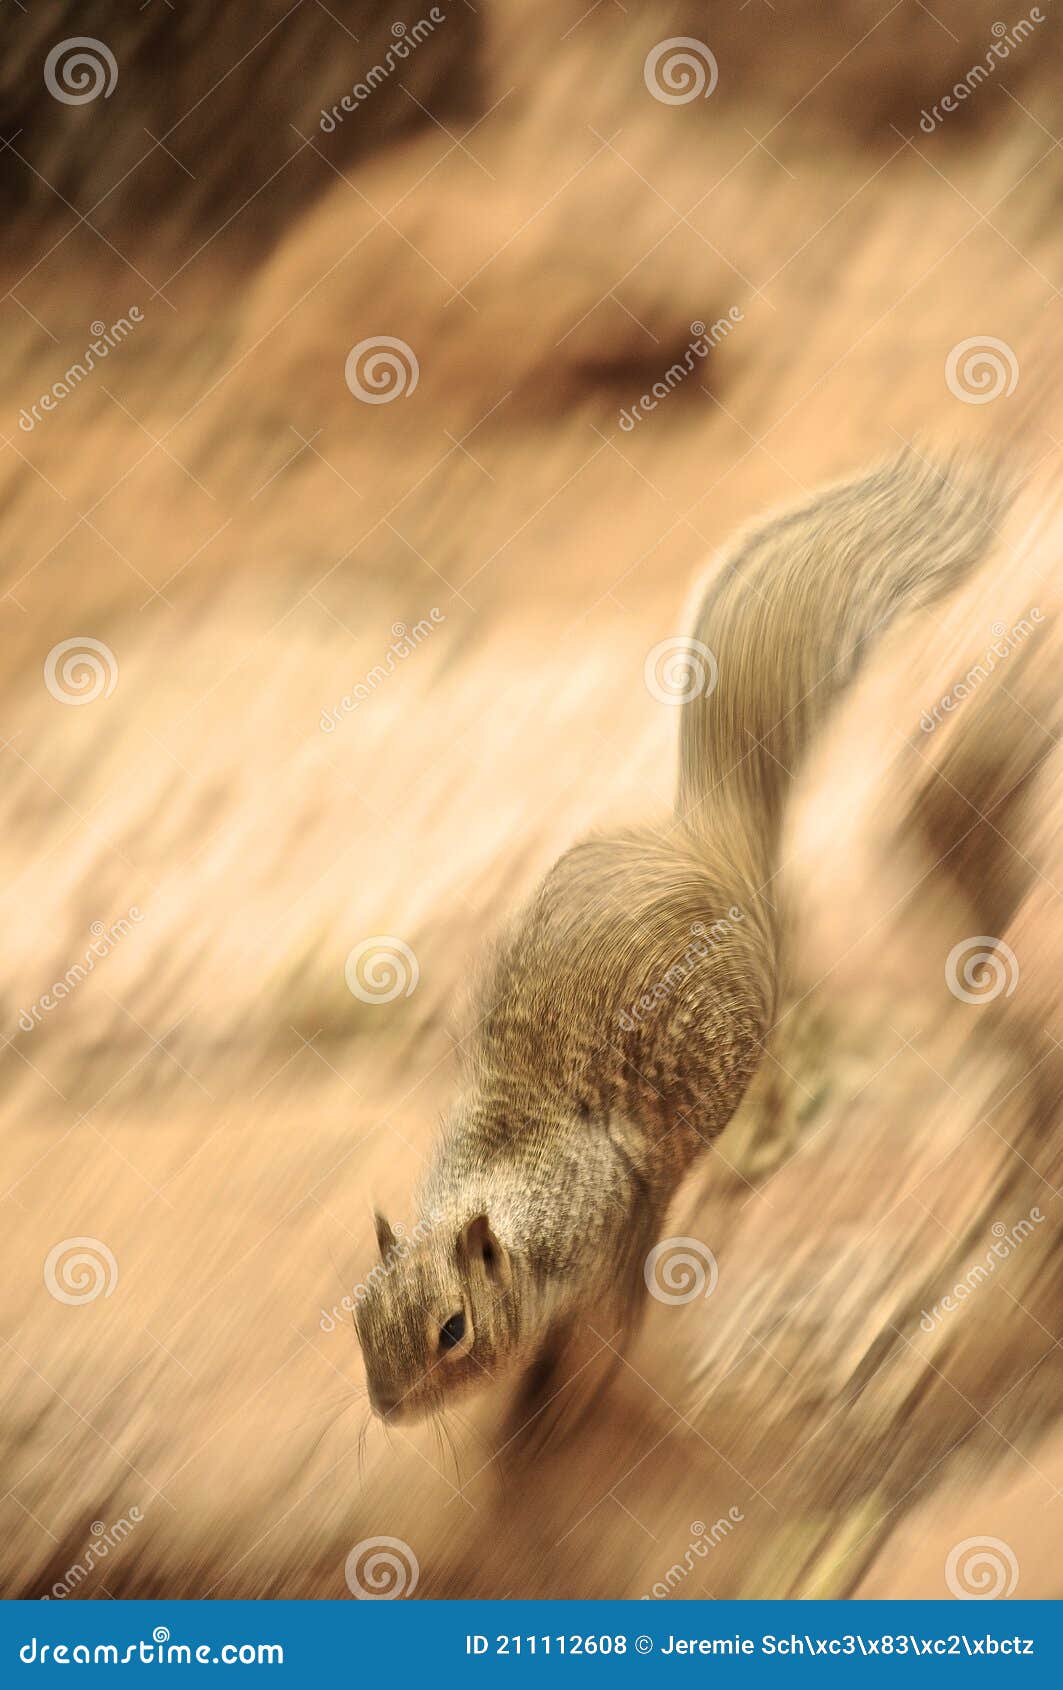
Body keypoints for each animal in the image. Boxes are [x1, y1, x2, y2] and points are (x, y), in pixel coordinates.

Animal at [355, 452, 1009, 1436]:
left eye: (452, 1328)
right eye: (358, 1322)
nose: (389, 1412)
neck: (514, 1174)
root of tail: (710, 835)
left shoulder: (624, 1232)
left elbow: (611, 1324)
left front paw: (562, 1403)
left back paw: (763, 1144)